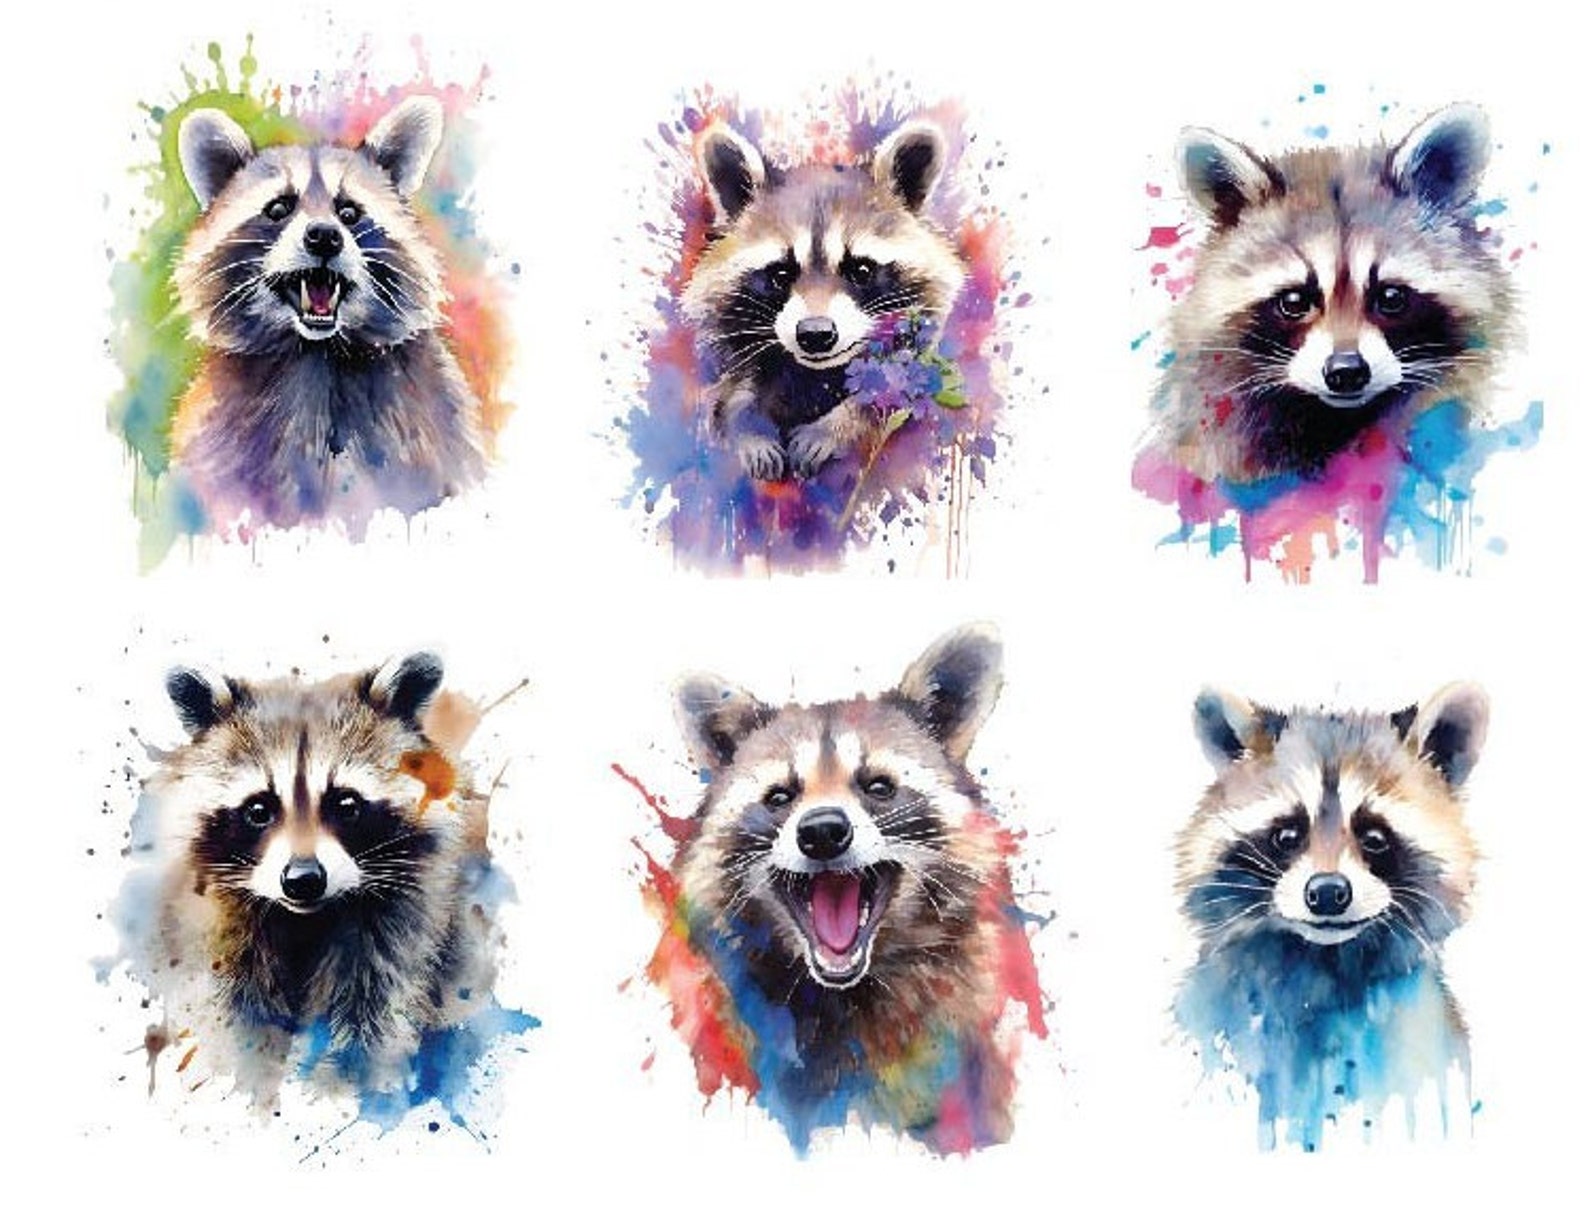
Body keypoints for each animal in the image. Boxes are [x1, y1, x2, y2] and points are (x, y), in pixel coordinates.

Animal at [131, 652, 499, 1099]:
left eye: (347, 804)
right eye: (258, 810)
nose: (303, 879)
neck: (306, 921)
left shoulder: (399, 927)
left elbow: (373, 1017)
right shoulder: (213, 932)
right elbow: (232, 1020)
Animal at [680, 120, 966, 481]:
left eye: (861, 270)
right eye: (780, 274)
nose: (815, 334)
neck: (815, 375)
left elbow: (882, 398)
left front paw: (834, 427)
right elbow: (728, 400)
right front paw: (746, 430)